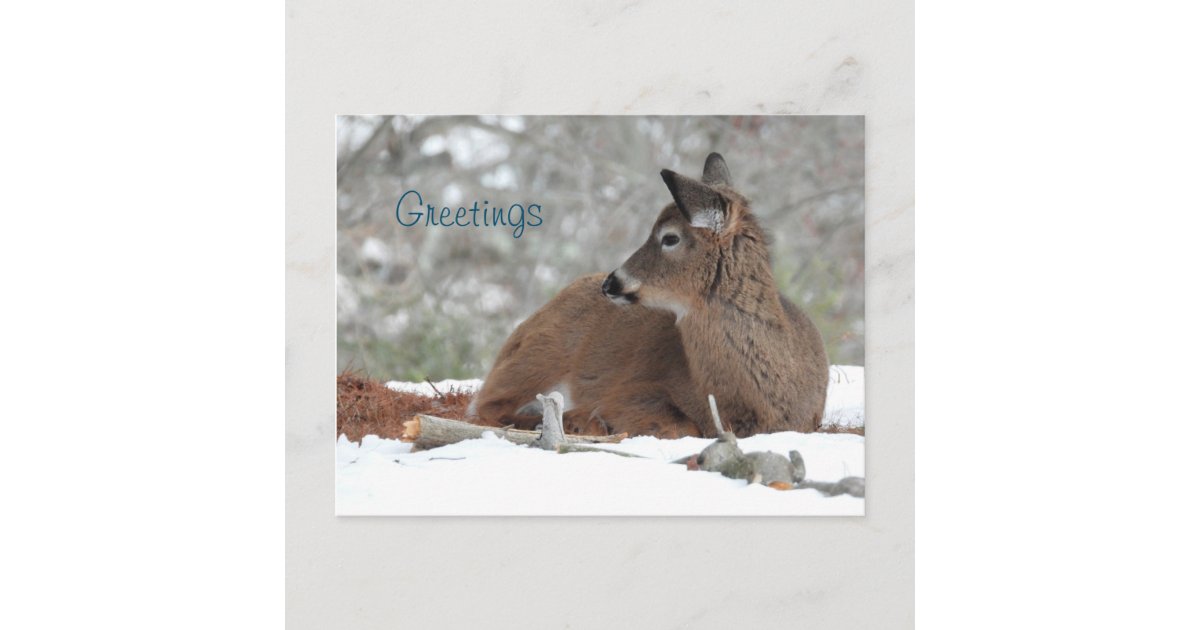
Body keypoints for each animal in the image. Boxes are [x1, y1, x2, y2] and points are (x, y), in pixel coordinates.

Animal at [470, 153, 829, 439]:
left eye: (670, 238)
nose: (611, 282)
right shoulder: (635, 389)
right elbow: (679, 425)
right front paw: (589, 418)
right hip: (539, 355)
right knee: (486, 405)